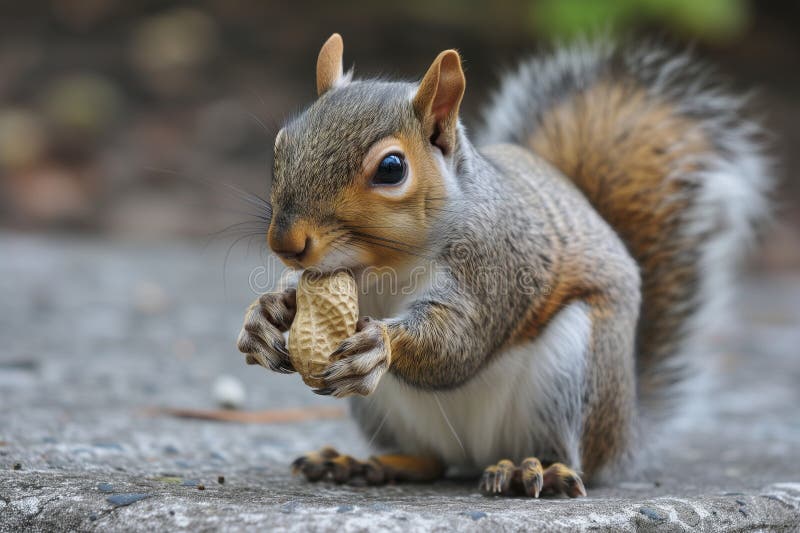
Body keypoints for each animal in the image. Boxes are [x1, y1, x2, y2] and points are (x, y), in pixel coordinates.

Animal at [237, 33, 770, 496]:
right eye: (281, 144)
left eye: (391, 169)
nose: (285, 242)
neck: (382, 265)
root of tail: (625, 435)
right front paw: (265, 316)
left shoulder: (497, 263)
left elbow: (459, 343)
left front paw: (381, 342)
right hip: (385, 414)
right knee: (429, 460)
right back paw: (364, 464)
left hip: (570, 373)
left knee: (564, 455)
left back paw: (531, 470)